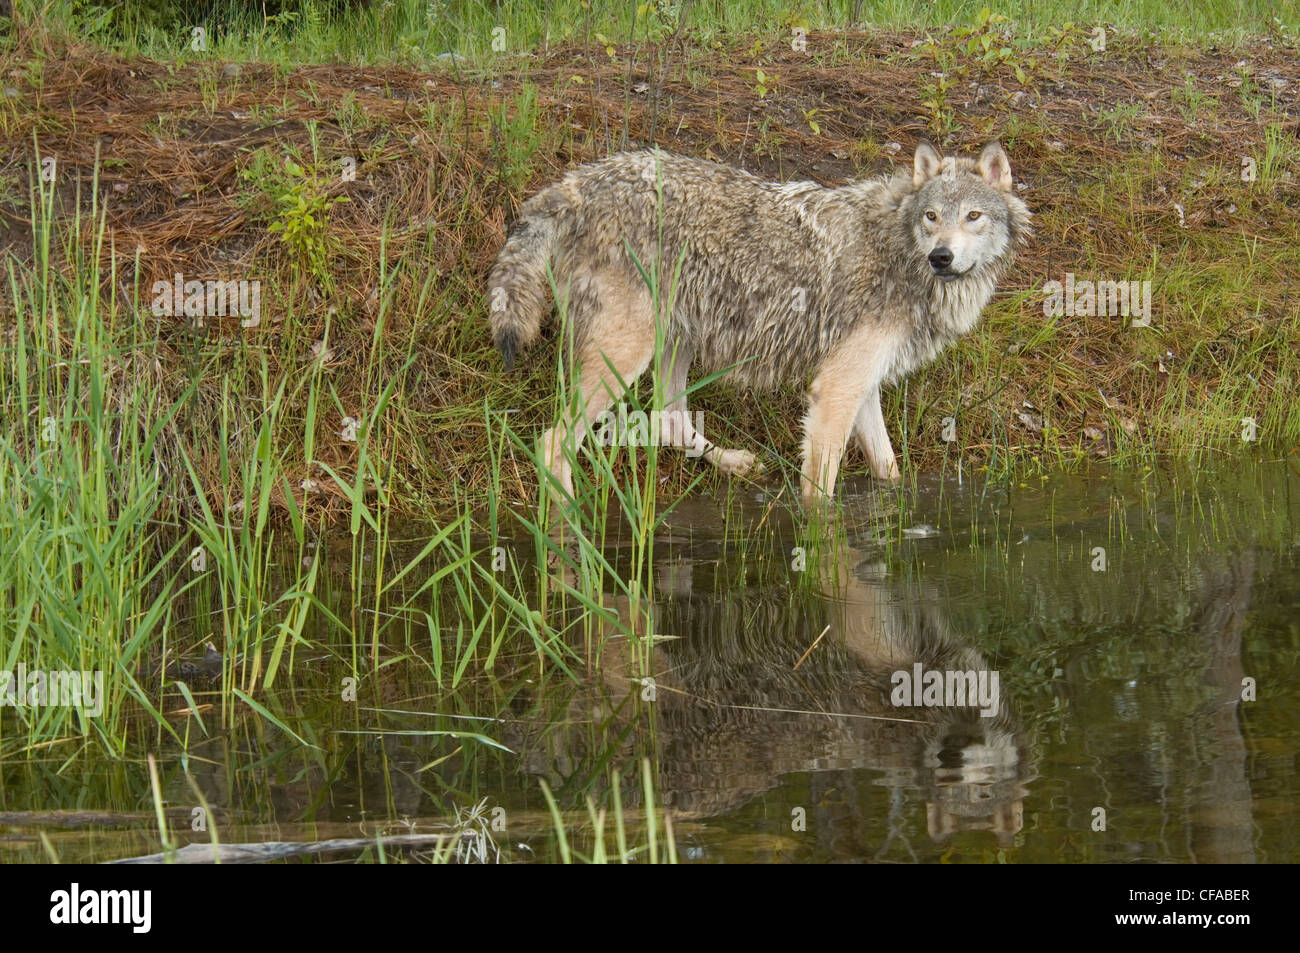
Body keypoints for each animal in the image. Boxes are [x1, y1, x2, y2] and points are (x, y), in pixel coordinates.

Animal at [488, 141, 1030, 502]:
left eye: (974, 216)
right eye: (932, 216)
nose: (942, 257)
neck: (897, 248)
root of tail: (577, 181)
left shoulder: (860, 386)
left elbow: (888, 469)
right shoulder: (836, 389)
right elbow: (820, 492)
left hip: (677, 340)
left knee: (669, 418)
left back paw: (732, 461)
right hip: (626, 354)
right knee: (552, 444)